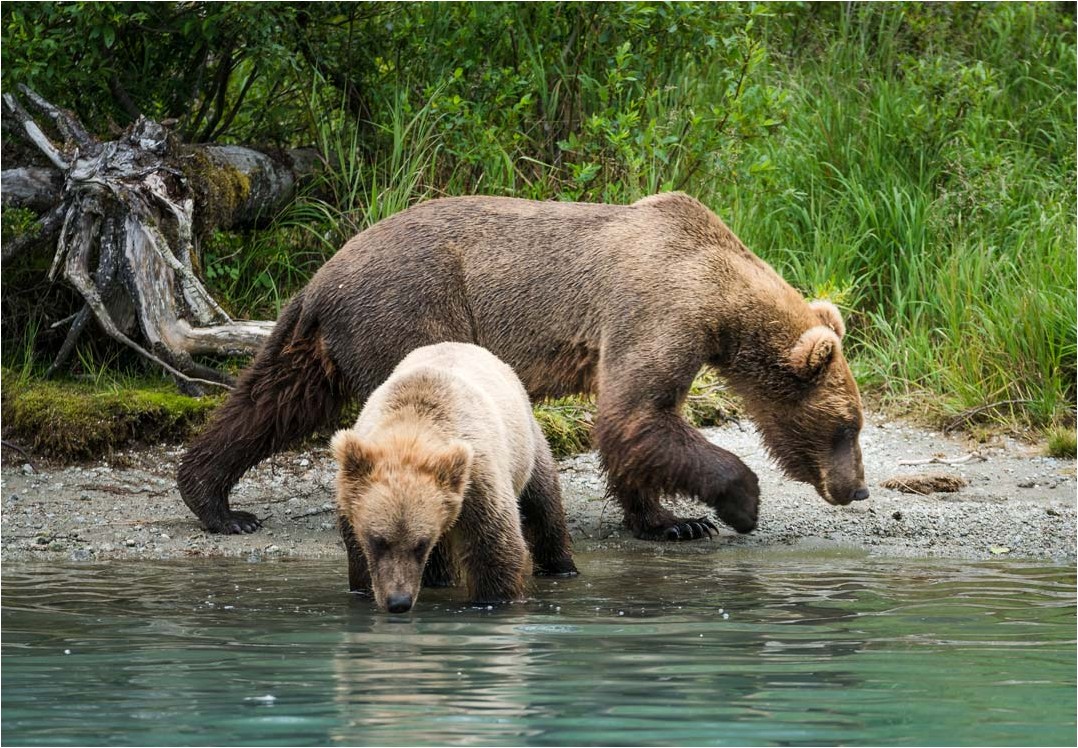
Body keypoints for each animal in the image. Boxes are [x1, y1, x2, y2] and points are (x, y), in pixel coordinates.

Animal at [178, 192, 868, 541]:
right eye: (847, 427)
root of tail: (323, 276)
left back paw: (216, 502)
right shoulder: (656, 308)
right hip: (407, 313)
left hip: (321, 342)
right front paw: (738, 505)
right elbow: (637, 416)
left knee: (270, 401)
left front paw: (671, 521)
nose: (857, 487)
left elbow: (636, 429)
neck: (720, 295)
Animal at [331, 342, 577, 612]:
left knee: (542, 503)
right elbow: (360, 559)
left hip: (527, 446)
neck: (412, 430)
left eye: (421, 544)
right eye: (378, 540)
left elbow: (493, 547)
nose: (399, 602)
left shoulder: (476, 481)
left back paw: (561, 567)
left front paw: (495, 598)